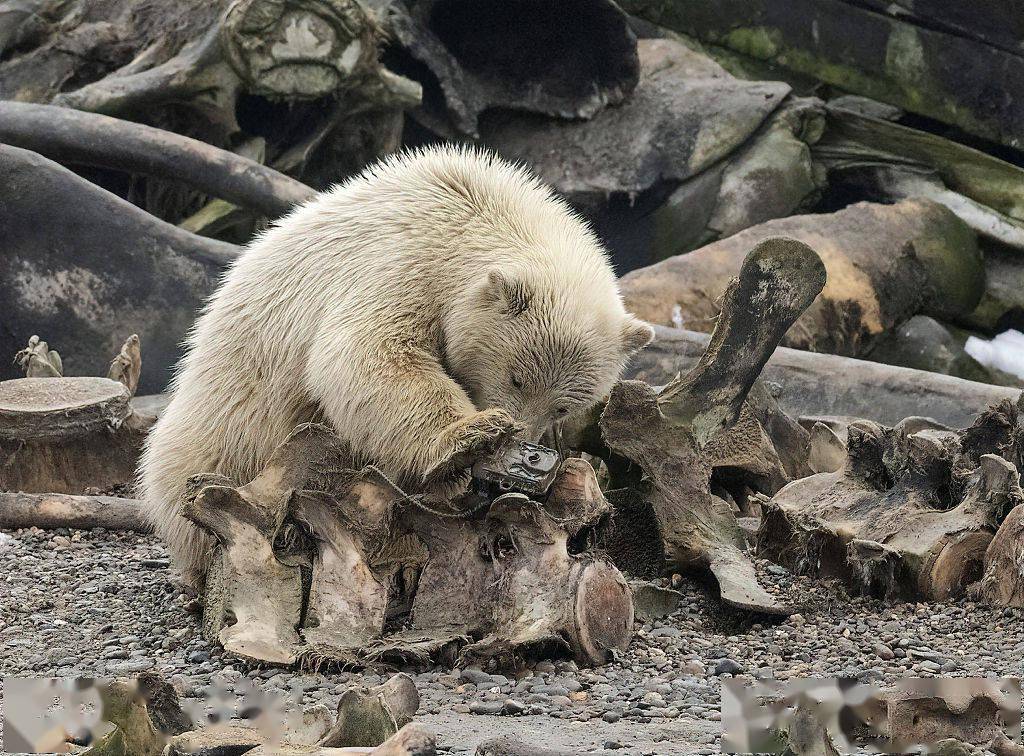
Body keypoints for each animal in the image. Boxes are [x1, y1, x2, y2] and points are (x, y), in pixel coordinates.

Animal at [139, 145, 654, 587]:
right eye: (517, 378)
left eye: (563, 407)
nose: (523, 445)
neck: (471, 211)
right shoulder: (399, 260)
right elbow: (368, 351)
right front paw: (472, 436)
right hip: (232, 423)